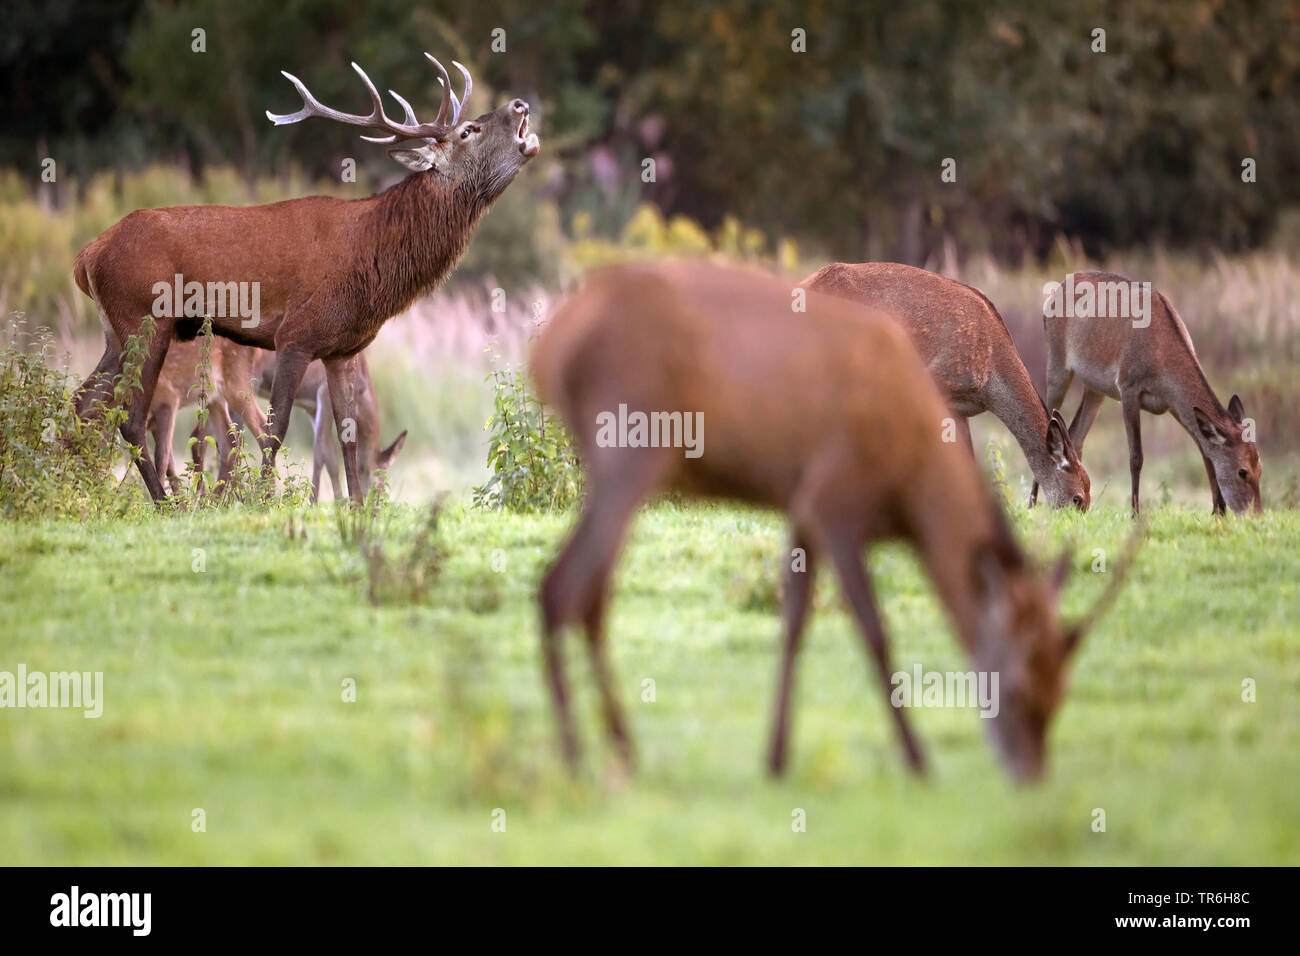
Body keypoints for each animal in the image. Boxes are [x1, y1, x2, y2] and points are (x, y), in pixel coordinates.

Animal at [73, 51, 539, 503]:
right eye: (467, 131)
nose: (521, 103)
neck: (370, 261)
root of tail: (86, 256)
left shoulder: (344, 349)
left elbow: (347, 440)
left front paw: (355, 510)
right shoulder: (294, 335)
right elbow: (274, 432)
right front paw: (266, 503)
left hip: (116, 332)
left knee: (83, 401)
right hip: (145, 321)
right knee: (129, 418)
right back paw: (165, 506)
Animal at [1033, 271, 1262, 515]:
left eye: (1260, 467)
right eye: (1242, 471)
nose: (1255, 514)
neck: (1163, 358)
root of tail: (1053, 294)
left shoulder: (1174, 405)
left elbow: (1205, 451)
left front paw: (1218, 511)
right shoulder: (1128, 387)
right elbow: (1136, 456)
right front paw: (1135, 513)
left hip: (1095, 388)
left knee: (1076, 436)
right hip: (1057, 363)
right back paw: (1032, 502)